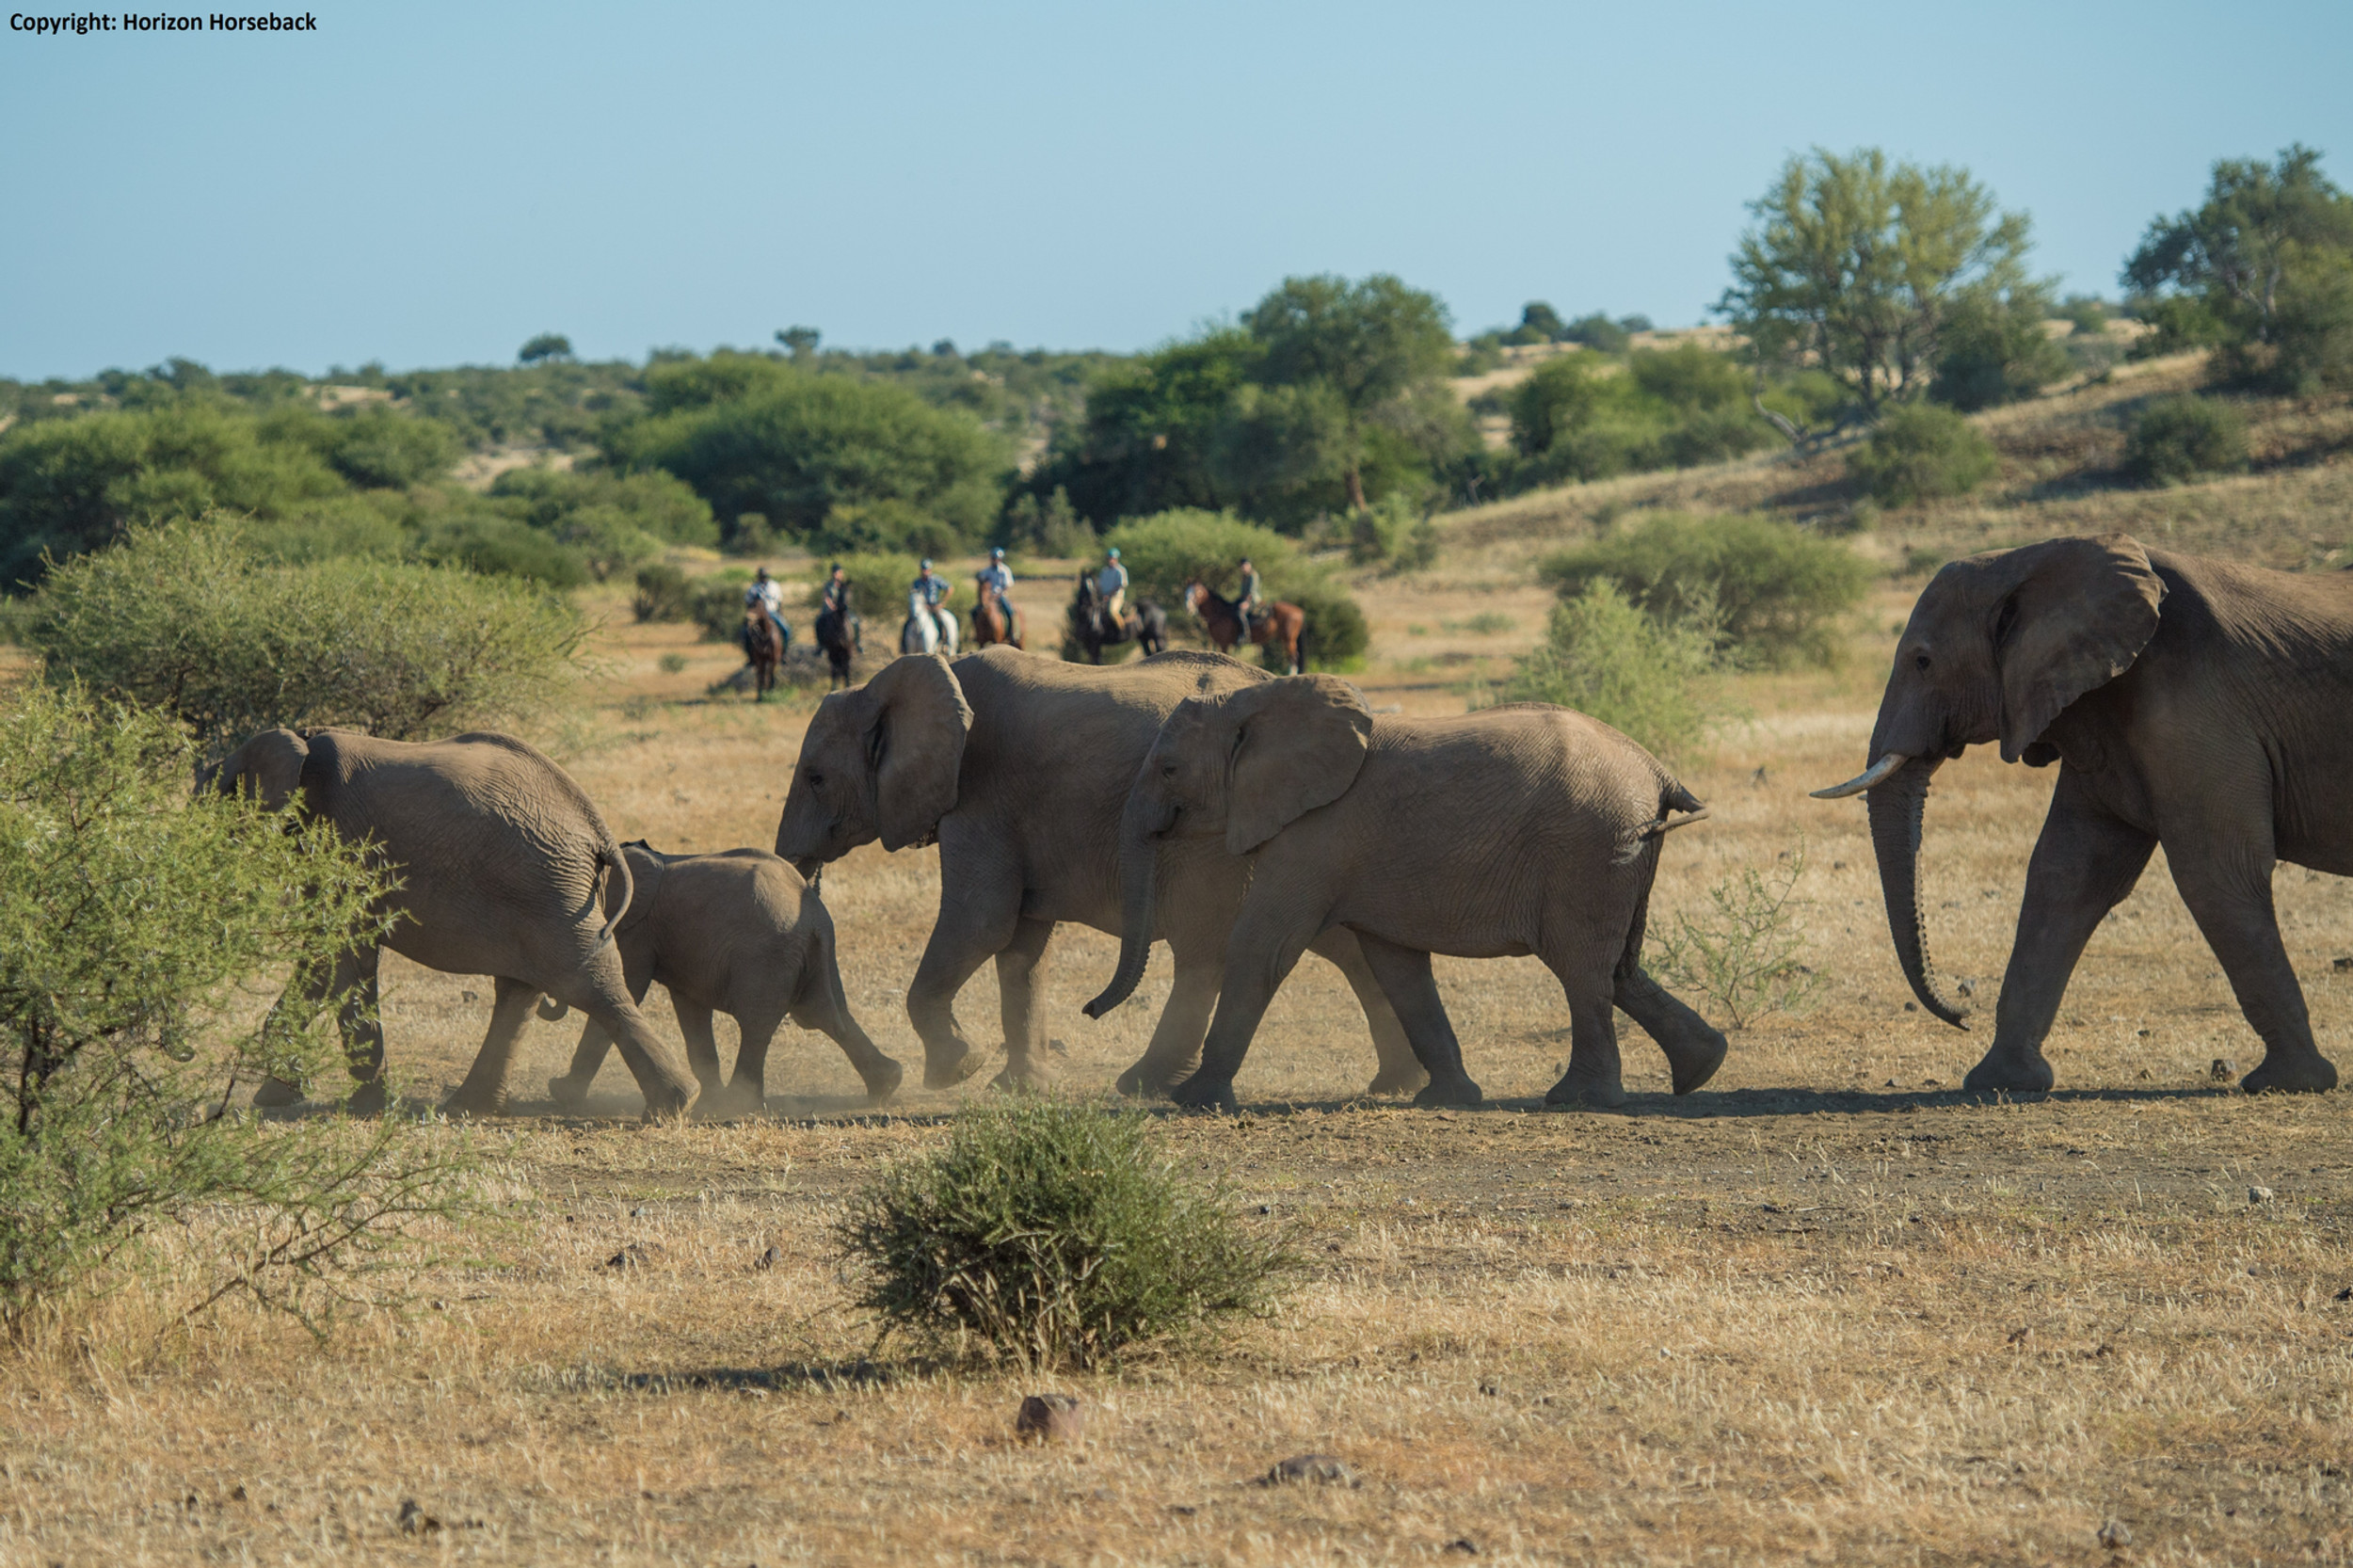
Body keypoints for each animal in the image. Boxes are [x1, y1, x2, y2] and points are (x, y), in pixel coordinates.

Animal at [1183, 579, 1305, 675]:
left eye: (1198, 592)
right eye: (1187, 592)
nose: (1189, 608)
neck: (1220, 613)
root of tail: (1299, 611)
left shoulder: (1224, 643)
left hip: (1288, 640)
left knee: (1293, 658)